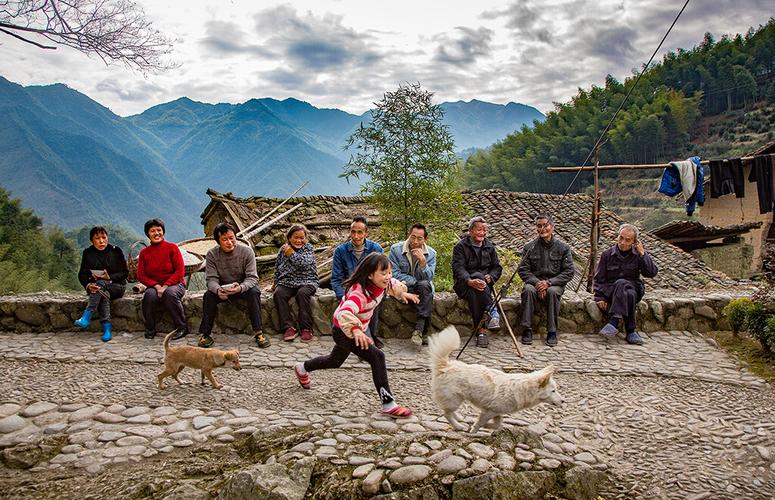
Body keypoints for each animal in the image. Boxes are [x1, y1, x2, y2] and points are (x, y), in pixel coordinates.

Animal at [428, 326, 568, 432]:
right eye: (553, 391)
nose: (563, 401)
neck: (522, 389)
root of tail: (445, 365)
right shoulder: (488, 411)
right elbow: (481, 422)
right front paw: (474, 430)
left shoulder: (496, 412)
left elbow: (498, 423)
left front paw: (487, 426)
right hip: (454, 399)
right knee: (446, 413)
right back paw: (458, 426)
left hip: (456, 399)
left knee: (448, 411)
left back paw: (459, 418)